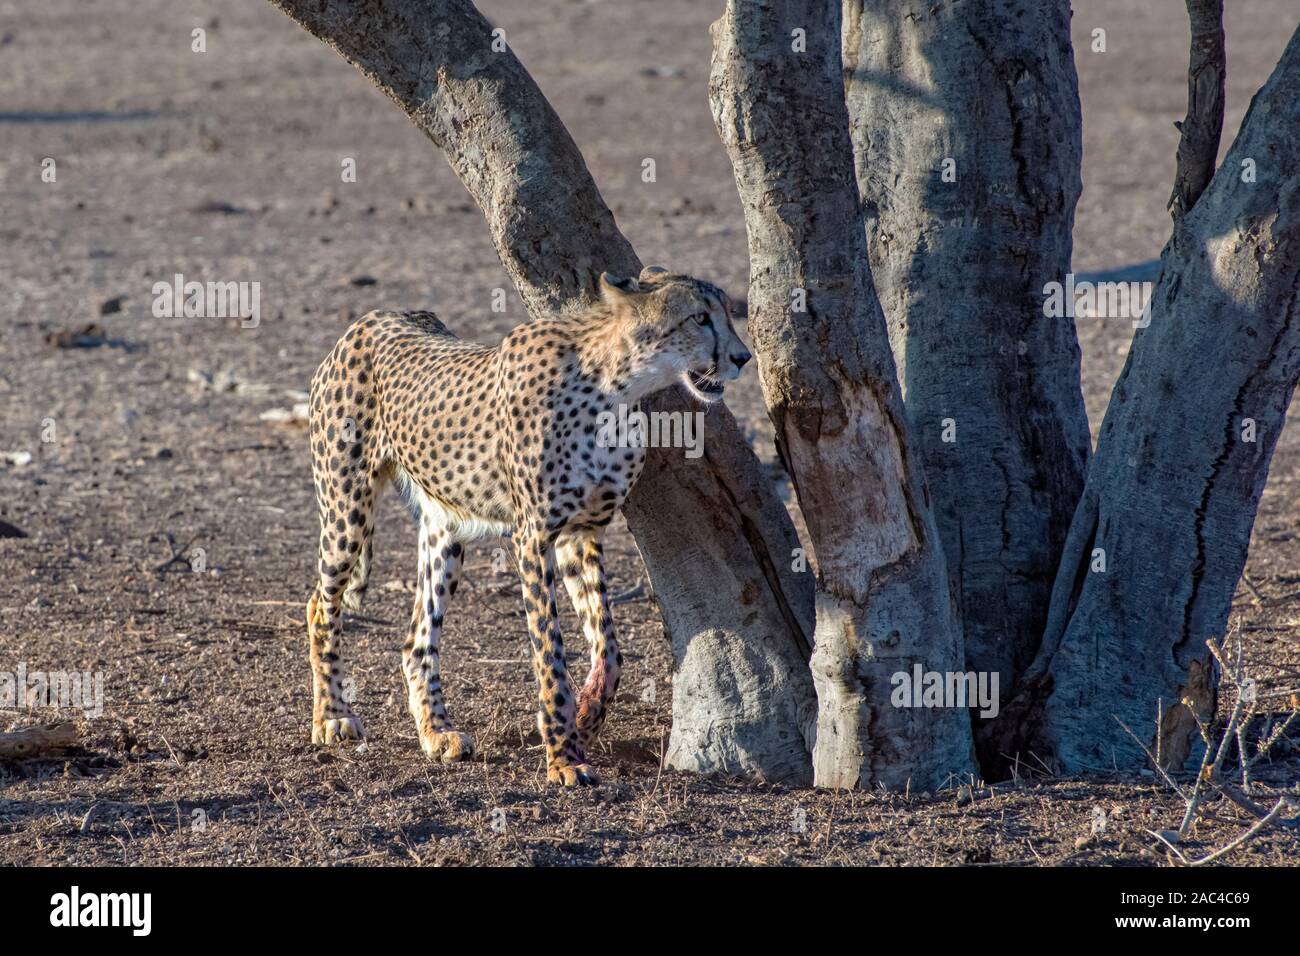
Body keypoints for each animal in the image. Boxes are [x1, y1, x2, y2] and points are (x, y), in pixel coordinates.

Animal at [305, 266, 751, 786]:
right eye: (699, 318)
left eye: (727, 313)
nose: (742, 357)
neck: (617, 387)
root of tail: (375, 317)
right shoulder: (533, 538)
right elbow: (549, 653)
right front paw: (564, 756)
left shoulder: (581, 534)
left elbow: (610, 648)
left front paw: (587, 716)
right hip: (346, 510)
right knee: (320, 605)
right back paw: (333, 716)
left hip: (444, 530)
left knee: (417, 640)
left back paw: (437, 732)